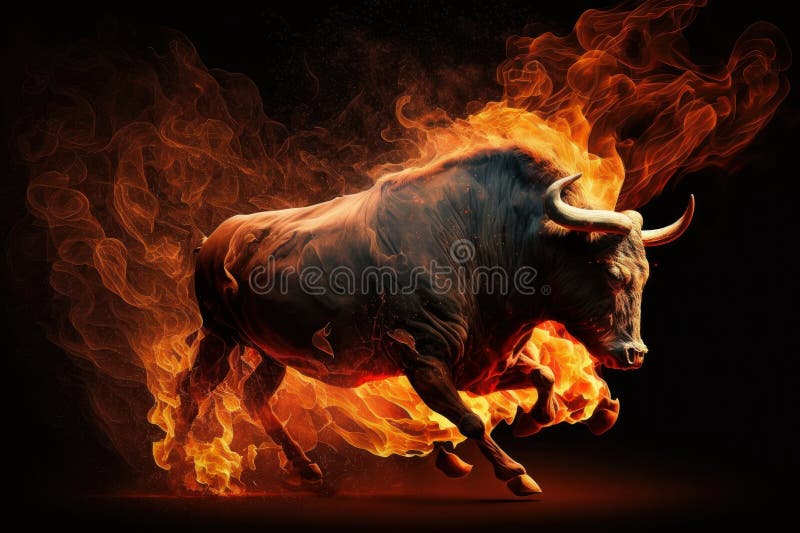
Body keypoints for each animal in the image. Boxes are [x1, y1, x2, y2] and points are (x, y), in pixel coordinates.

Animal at [175, 147, 694, 496]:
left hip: (274, 352)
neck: (491, 237)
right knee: (194, 389)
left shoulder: (485, 364)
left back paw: (306, 469)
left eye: (645, 275)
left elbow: (543, 375)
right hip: (219, 336)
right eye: (611, 272)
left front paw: (533, 423)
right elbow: (471, 421)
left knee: (253, 394)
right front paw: (516, 474)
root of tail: (214, 238)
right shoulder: (424, 362)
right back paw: (179, 468)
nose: (634, 353)